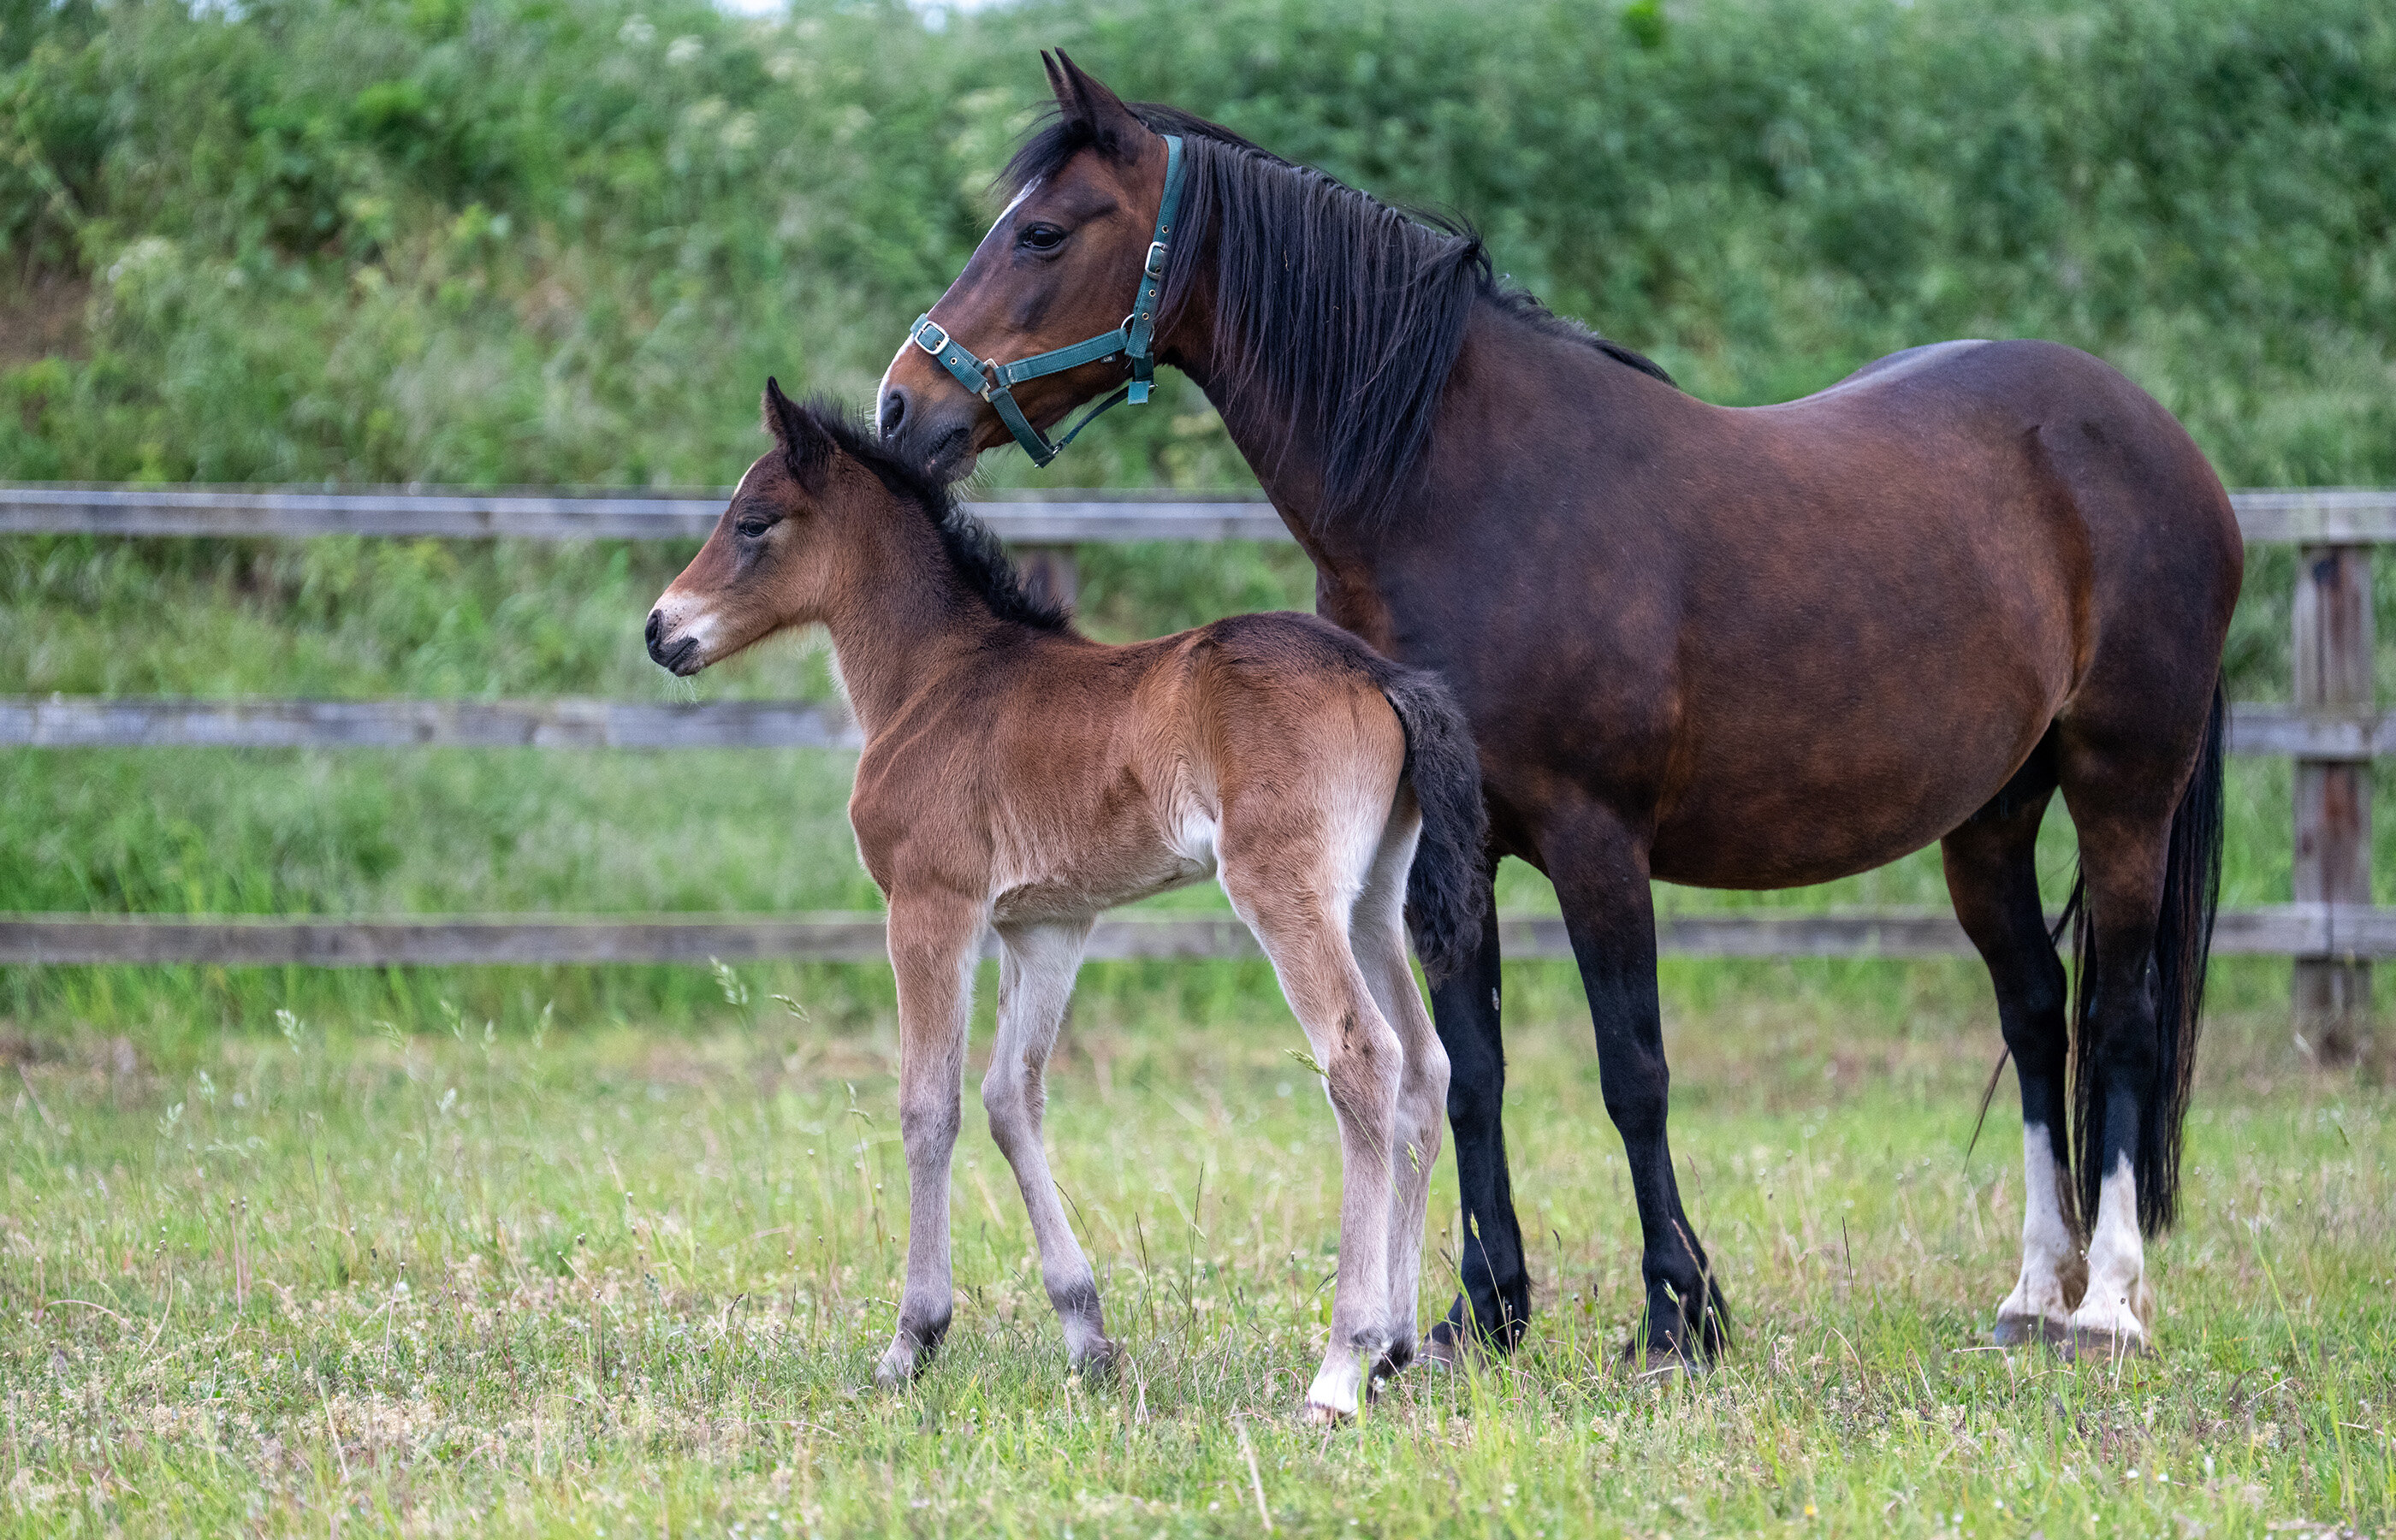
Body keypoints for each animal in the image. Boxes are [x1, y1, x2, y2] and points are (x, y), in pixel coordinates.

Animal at [646, 382, 1490, 1419]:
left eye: (754, 522)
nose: (659, 630)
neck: (934, 679)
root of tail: (1378, 672)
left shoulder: (932, 906)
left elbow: (928, 1106)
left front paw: (912, 1340)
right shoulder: (1047, 924)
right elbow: (1012, 1097)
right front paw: (1087, 1333)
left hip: (1283, 889)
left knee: (1362, 1057)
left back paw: (1340, 1365)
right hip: (1371, 899)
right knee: (1425, 1066)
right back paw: (1395, 1348)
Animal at [873, 53, 2242, 1366]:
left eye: (1043, 233)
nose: (899, 408)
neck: (1467, 491)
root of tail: (2157, 439)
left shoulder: (1597, 841)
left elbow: (1632, 1071)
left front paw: (1682, 1316)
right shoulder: (1454, 852)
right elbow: (1468, 1072)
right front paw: (1481, 1316)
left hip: (2124, 790)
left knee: (2119, 1018)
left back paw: (2105, 1308)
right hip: (1990, 818)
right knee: (2036, 1012)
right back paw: (2030, 1295)